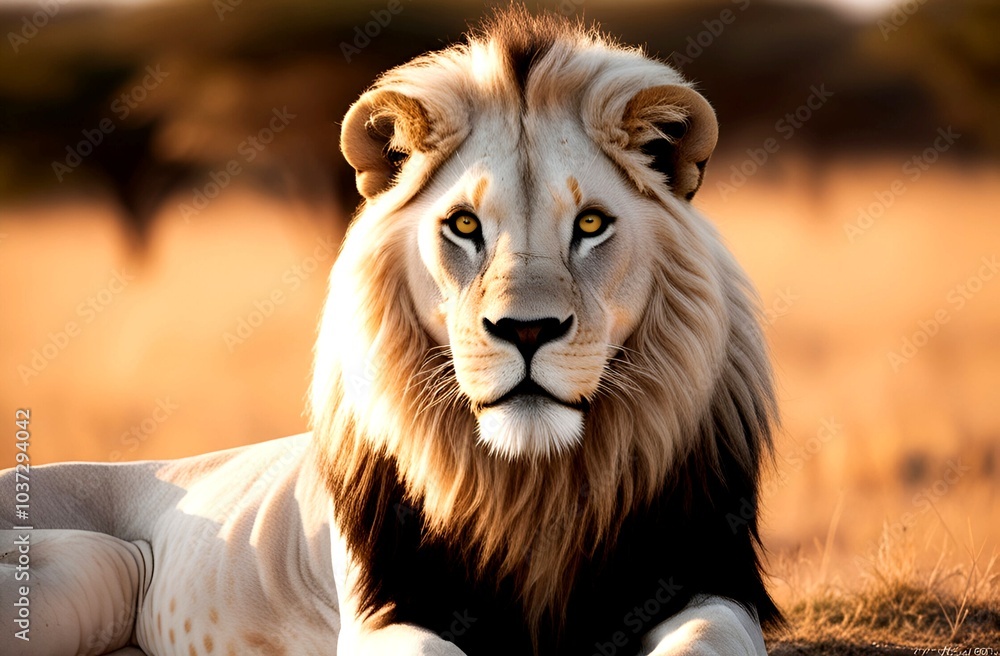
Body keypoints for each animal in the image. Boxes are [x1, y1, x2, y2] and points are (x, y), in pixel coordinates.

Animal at [1, 7, 779, 656]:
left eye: (590, 224)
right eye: (463, 224)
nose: (526, 331)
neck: (532, 488)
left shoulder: (713, 583)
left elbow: (704, 640)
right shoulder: (387, 608)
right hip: (96, 565)